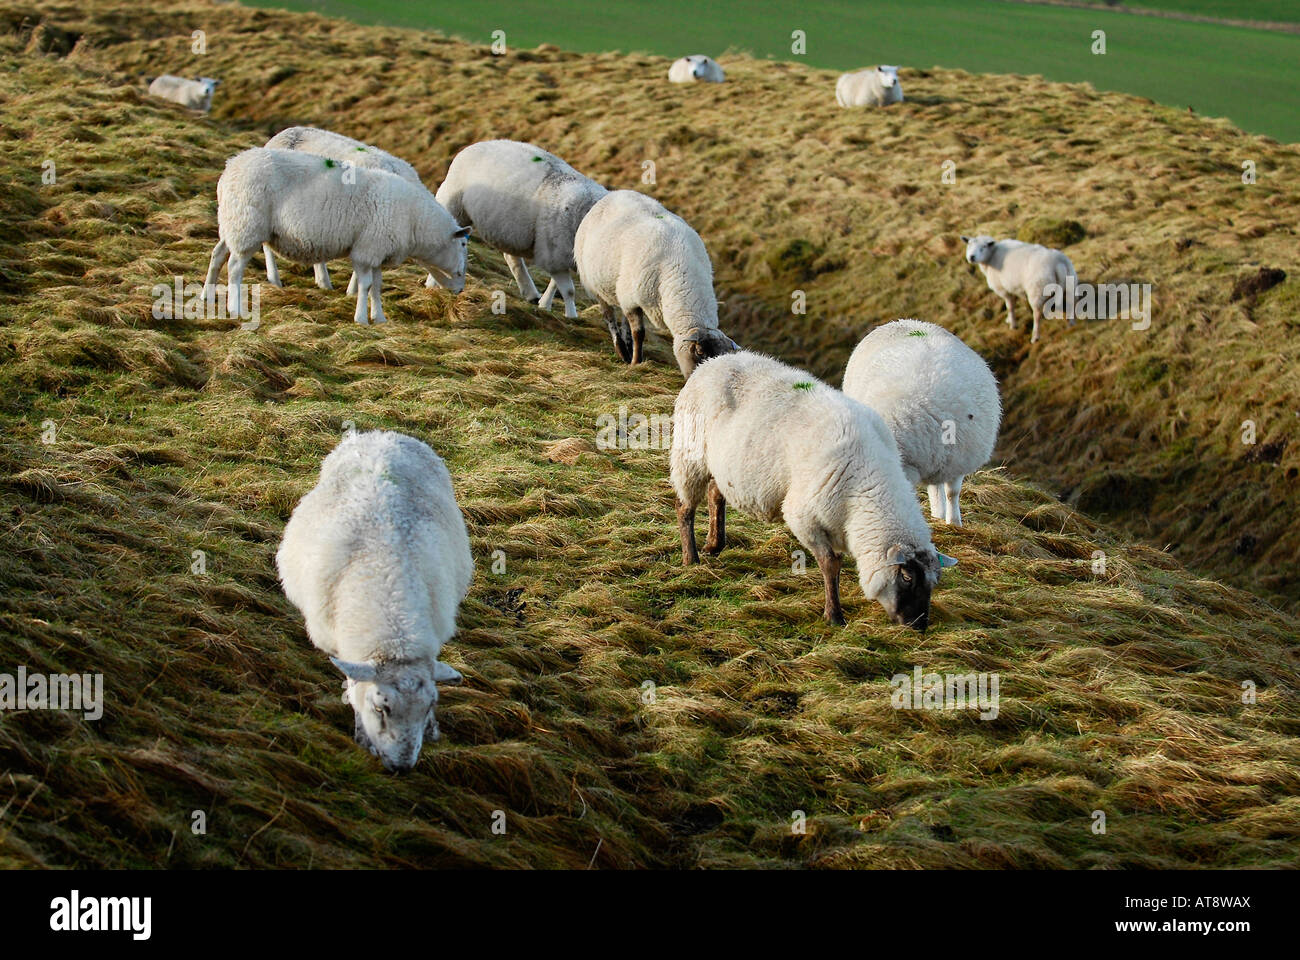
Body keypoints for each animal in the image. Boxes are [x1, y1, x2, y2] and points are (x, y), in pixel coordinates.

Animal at [202, 147, 470, 326]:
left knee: (217, 255)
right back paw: (235, 309)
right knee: (235, 268)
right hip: (248, 226)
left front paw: (379, 318)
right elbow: (366, 285)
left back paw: (208, 295)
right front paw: (361, 319)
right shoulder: (366, 250)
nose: (460, 290)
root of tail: (230, 168)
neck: (415, 220)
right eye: (463, 244)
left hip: (233, 223)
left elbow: (377, 287)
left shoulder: (377, 251)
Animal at [276, 430, 472, 773]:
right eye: (381, 708)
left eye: (428, 707)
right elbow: (353, 684)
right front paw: (361, 735)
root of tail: (380, 434)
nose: (402, 768)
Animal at [435, 139, 606, 320]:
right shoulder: (554, 253)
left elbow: (555, 285)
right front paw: (571, 316)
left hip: (508, 228)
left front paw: (545, 304)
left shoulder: (562, 256)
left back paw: (530, 292)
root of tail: (478, 144)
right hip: (454, 205)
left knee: (512, 257)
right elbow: (569, 290)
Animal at [574, 189, 739, 377]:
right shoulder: (631, 300)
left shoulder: (630, 298)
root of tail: (616, 192)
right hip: (595, 284)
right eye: (700, 353)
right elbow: (639, 333)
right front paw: (636, 363)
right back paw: (621, 350)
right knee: (609, 316)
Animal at [671, 350, 957, 629]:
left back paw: (714, 544)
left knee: (715, 494)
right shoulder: (804, 519)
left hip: (721, 466)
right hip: (689, 456)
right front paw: (834, 616)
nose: (918, 625)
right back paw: (691, 558)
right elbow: (831, 564)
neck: (865, 485)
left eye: (934, 581)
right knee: (684, 508)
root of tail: (713, 362)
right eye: (907, 577)